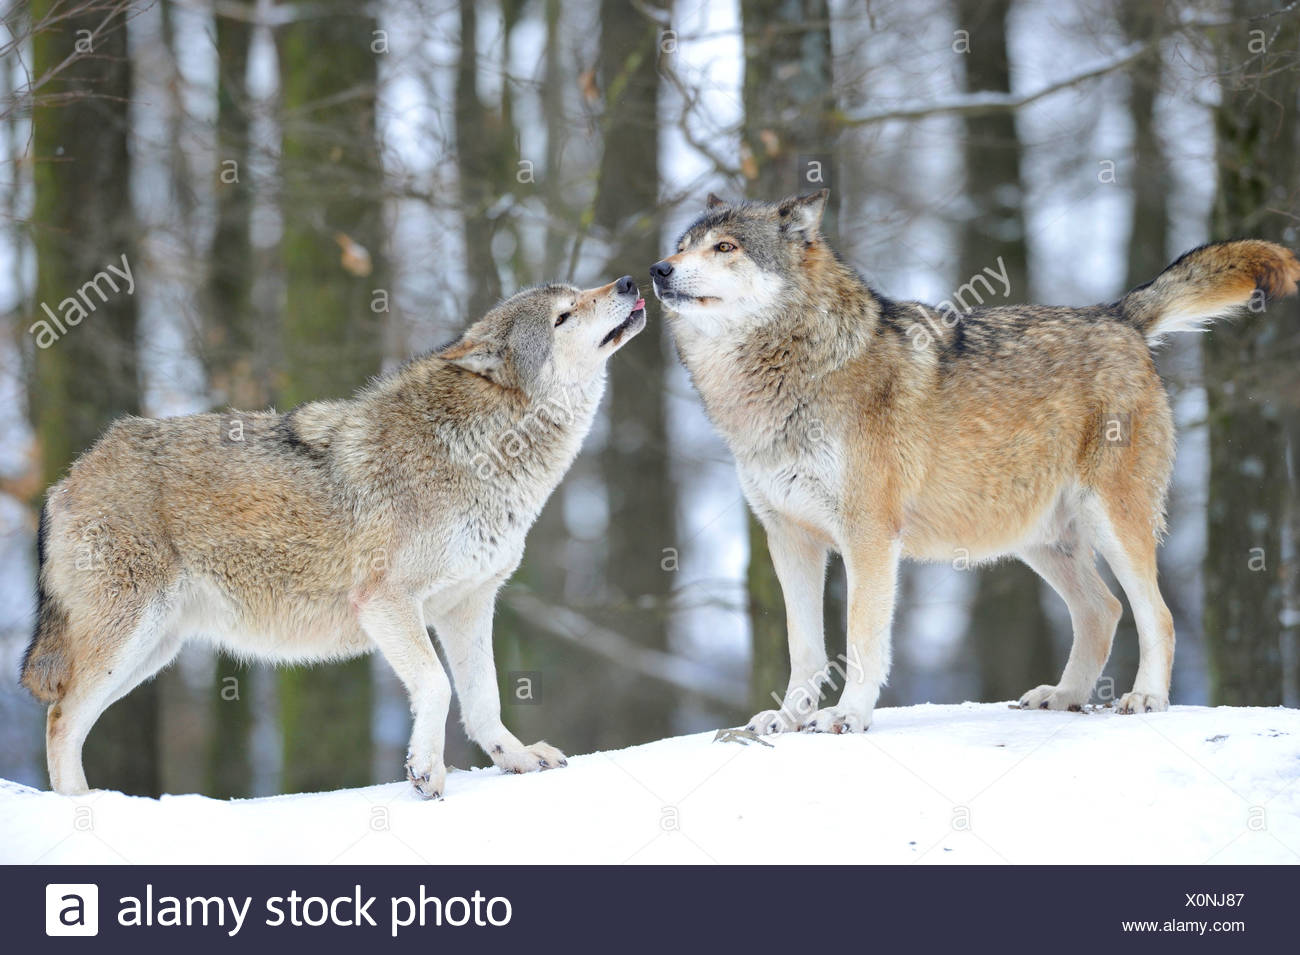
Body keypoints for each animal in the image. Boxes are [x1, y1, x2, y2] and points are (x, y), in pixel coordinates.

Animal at [21, 276, 647, 797]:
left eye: (580, 292)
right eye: (564, 315)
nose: (628, 281)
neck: (485, 453)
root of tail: (66, 479)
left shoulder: (468, 605)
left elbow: (483, 699)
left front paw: (514, 759)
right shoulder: (386, 602)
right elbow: (437, 685)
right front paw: (426, 770)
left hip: (154, 650)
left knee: (66, 718)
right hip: (129, 639)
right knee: (61, 719)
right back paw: (84, 811)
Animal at [652, 190, 1299, 734]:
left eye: (725, 247)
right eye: (683, 244)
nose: (658, 269)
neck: (788, 374)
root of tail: (1117, 315)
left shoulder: (869, 536)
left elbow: (861, 639)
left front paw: (848, 716)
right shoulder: (789, 539)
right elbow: (804, 647)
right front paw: (786, 720)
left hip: (1111, 523)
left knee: (1155, 614)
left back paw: (1146, 698)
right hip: (1042, 542)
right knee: (1105, 610)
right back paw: (1065, 696)